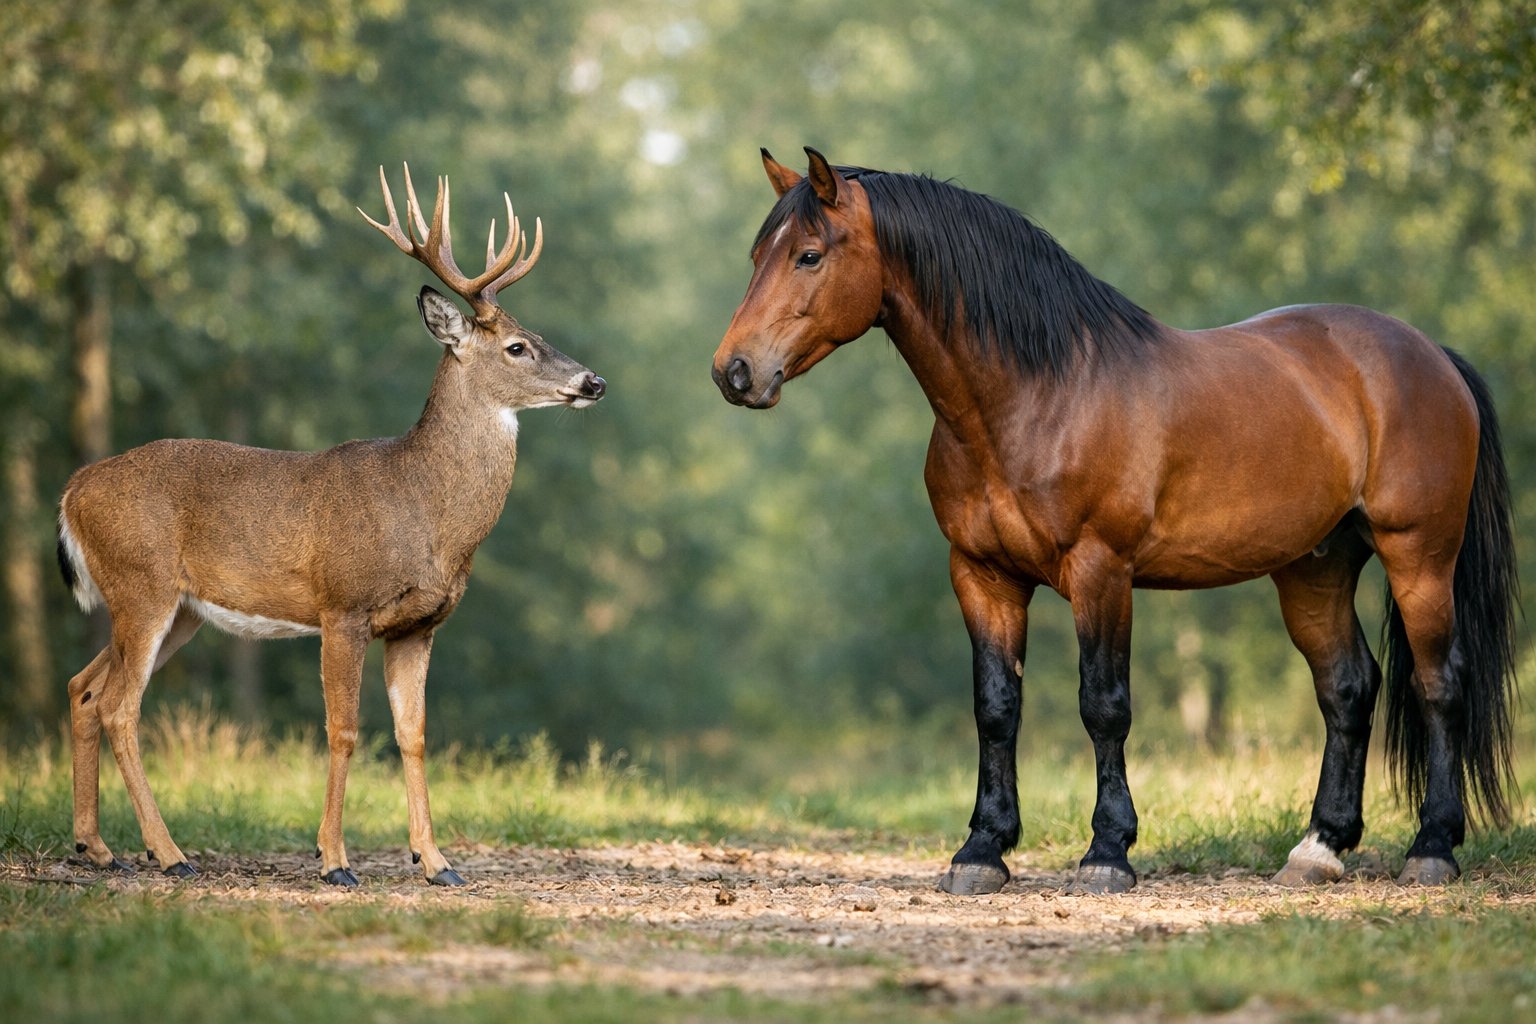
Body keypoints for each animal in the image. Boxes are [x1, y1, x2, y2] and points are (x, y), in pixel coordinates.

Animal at [56, 165, 605, 887]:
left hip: (178, 611)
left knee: (85, 689)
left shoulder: (419, 626)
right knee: (120, 706)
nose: (594, 381)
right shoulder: (343, 606)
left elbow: (413, 736)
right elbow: (342, 731)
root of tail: (72, 490)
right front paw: (335, 861)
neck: (424, 510)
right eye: (518, 347)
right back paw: (169, 853)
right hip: (141, 585)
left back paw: (97, 846)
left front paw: (436, 862)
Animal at [712, 147, 1518, 895]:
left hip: (1420, 557)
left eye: (809, 254)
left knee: (1438, 683)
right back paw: (1319, 848)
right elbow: (996, 706)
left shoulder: (1101, 571)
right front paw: (982, 850)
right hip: (1314, 567)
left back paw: (1432, 848)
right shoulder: (982, 575)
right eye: (757, 255)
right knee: (1347, 688)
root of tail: (1429, 354)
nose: (734, 372)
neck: (1036, 396)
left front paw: (1107, 852)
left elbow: (1104, 706)